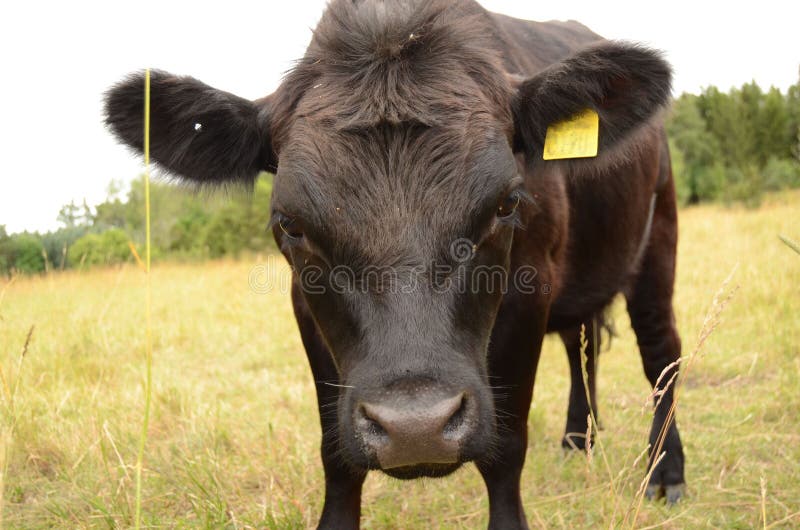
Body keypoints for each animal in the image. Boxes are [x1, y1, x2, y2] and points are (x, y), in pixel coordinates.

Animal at [105, 0, 685, 527]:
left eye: (507, 203)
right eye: (290, 223)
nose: (415, 428)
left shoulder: (529, 293)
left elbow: (506, 448)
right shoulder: (306, 311)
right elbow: (336, 455)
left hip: (658, 236)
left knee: (661, 355)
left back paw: (666, 473)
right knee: (581, 344)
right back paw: (577, 441)